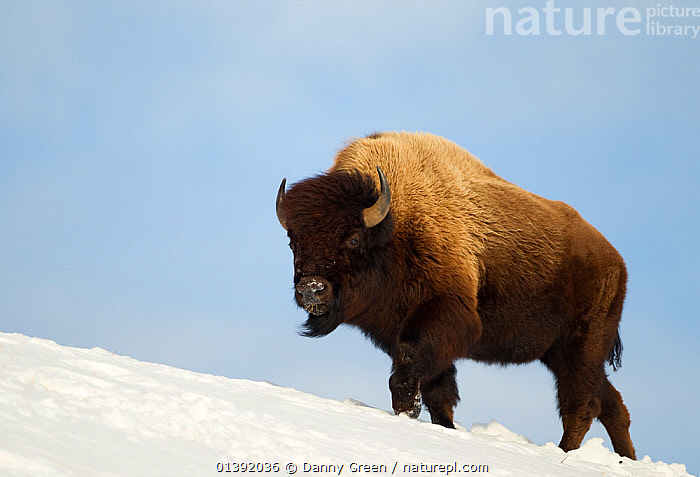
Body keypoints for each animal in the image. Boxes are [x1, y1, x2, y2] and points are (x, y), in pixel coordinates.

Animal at [275, 132, 635, 459]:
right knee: (611, 403)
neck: (395, 225)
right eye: (293, 240)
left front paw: (407, 410)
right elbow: (439, 392)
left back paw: (564, 454)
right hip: (561, 353)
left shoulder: (440, 316)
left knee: (582, 404)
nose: (311, 288)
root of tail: (616, 261)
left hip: (579, 349)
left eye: (352, 238)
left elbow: (412, 372)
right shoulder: (409, 335)